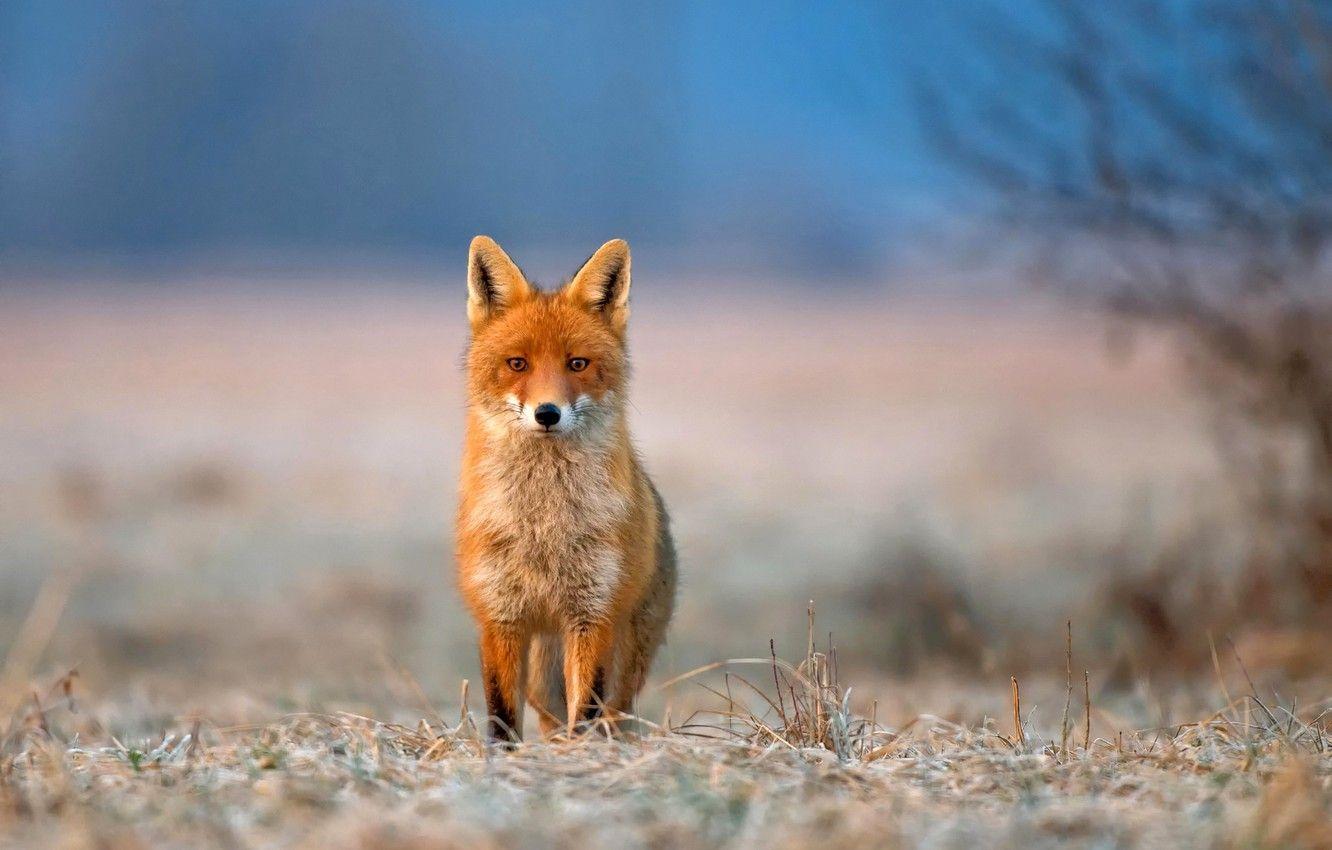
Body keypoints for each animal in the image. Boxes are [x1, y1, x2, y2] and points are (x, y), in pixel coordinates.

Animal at [455, 235, 677, 743]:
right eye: (517, 364)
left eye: (577, 364)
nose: (547, 413)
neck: (544, 526)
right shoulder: (499, 616)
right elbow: (501, 714)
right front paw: (503, 757)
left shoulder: (592, 614)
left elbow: (587, 709)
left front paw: (581, 758)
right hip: (542, 678)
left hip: (625, 661)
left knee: (613, 715)